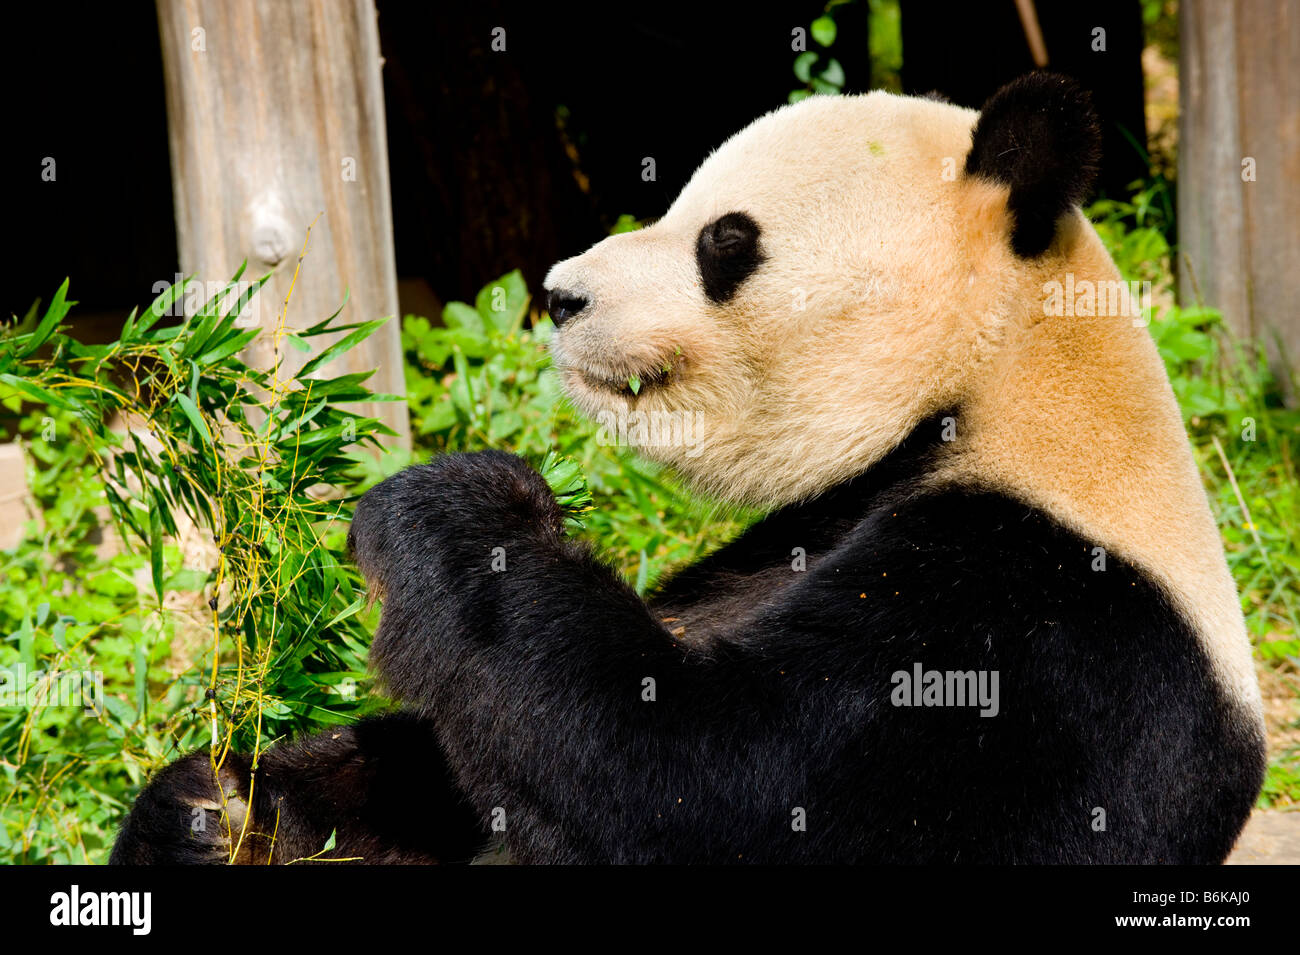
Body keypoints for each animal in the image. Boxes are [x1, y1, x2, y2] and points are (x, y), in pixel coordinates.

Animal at [111, 73, 1265, 865]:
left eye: (726, 239)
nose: (561, 293)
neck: (1000, 384)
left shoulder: (1044, 630)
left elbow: (712, 790)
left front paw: (463, 506)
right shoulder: (806, 528)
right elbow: (448, 762)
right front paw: (224, 808)